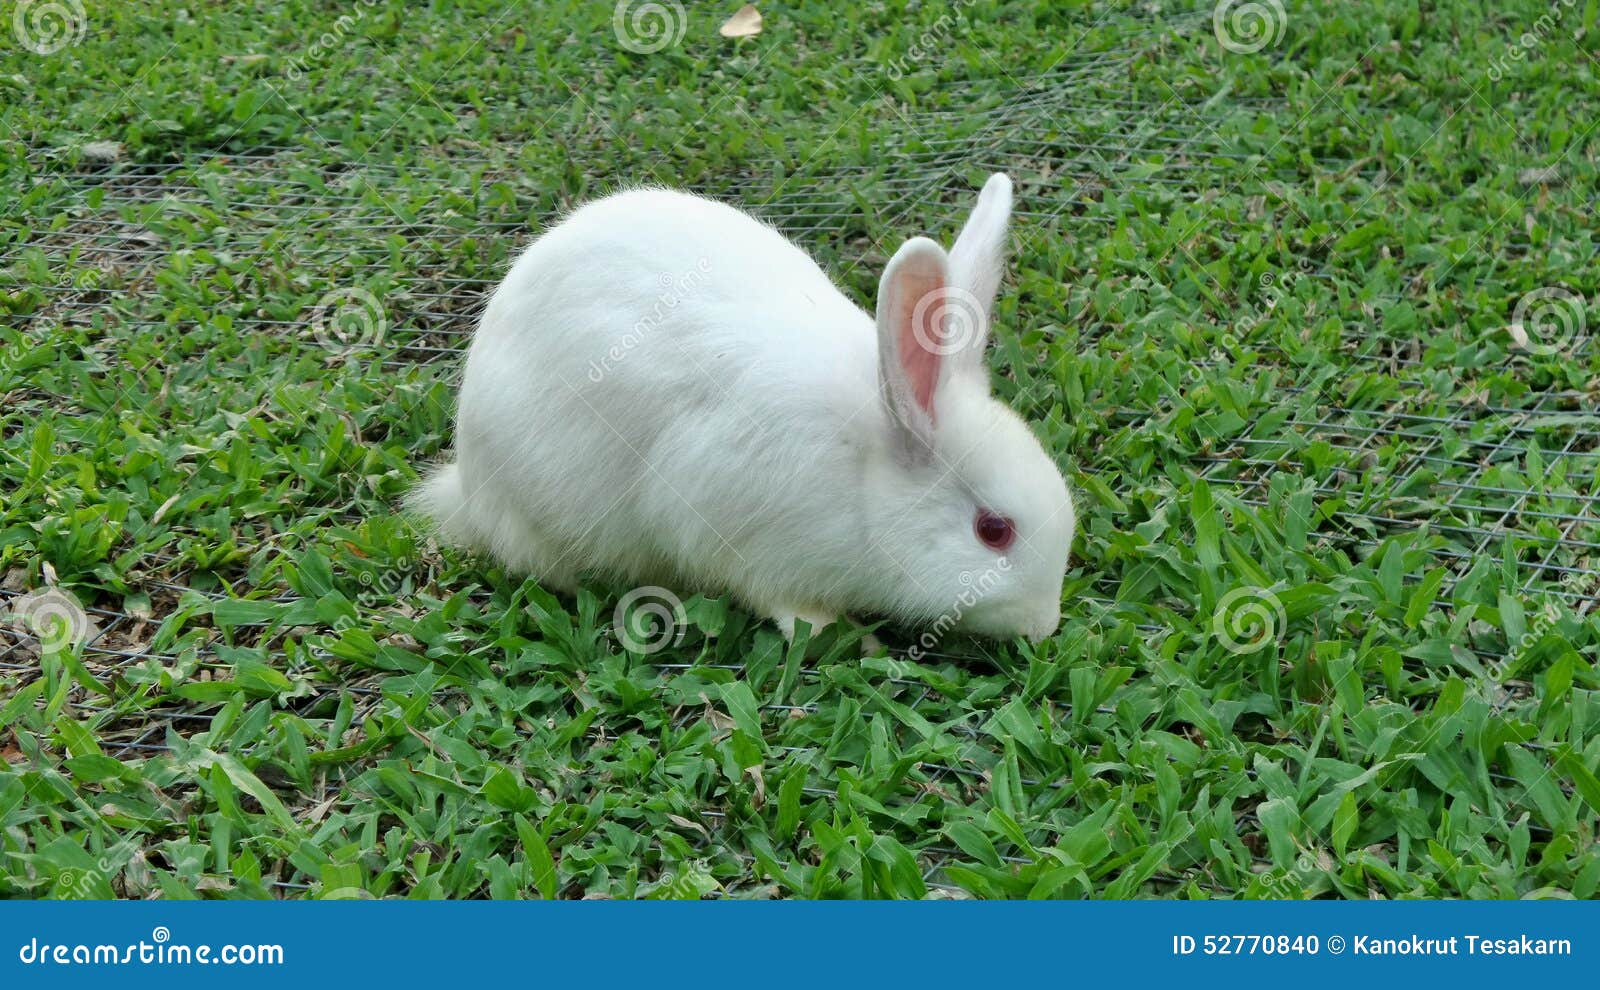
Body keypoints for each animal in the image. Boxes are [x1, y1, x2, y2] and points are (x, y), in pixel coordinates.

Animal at [412, 173, 1075, 643]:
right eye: (993, 531)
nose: (1044, 625)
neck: (863, 473)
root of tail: (466, 483)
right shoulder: (742, 542)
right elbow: (788, 609)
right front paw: (851, 640)